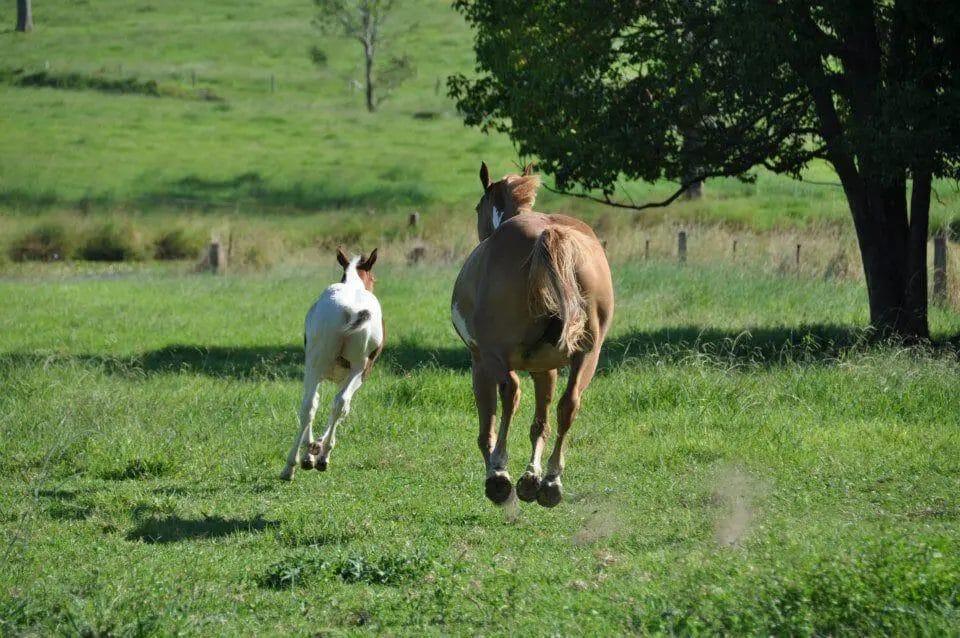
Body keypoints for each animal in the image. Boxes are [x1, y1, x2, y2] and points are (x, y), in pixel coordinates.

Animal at [280, 248, 384, 482]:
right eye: (373, 278)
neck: (353, 285)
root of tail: (351, 310)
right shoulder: (358, 374)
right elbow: (343, 408)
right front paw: (318, 449)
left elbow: (323, 403)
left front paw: (312, 451)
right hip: (355, 368)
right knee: (336, 403)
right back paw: (315, 459)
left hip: (315, 363)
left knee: (309, 405)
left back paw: (292, 465)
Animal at [452, 161, 616, 510]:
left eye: (478, 207)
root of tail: (548, 233)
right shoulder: (546, 369)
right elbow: (540, 423)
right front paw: (532, 478)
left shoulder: (479, 360)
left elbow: (487, 425)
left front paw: (499, 475)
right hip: (587, 356)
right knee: (569, 405)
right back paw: (551, 482)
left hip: (494, 357)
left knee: (511, 393)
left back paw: (500, 475)